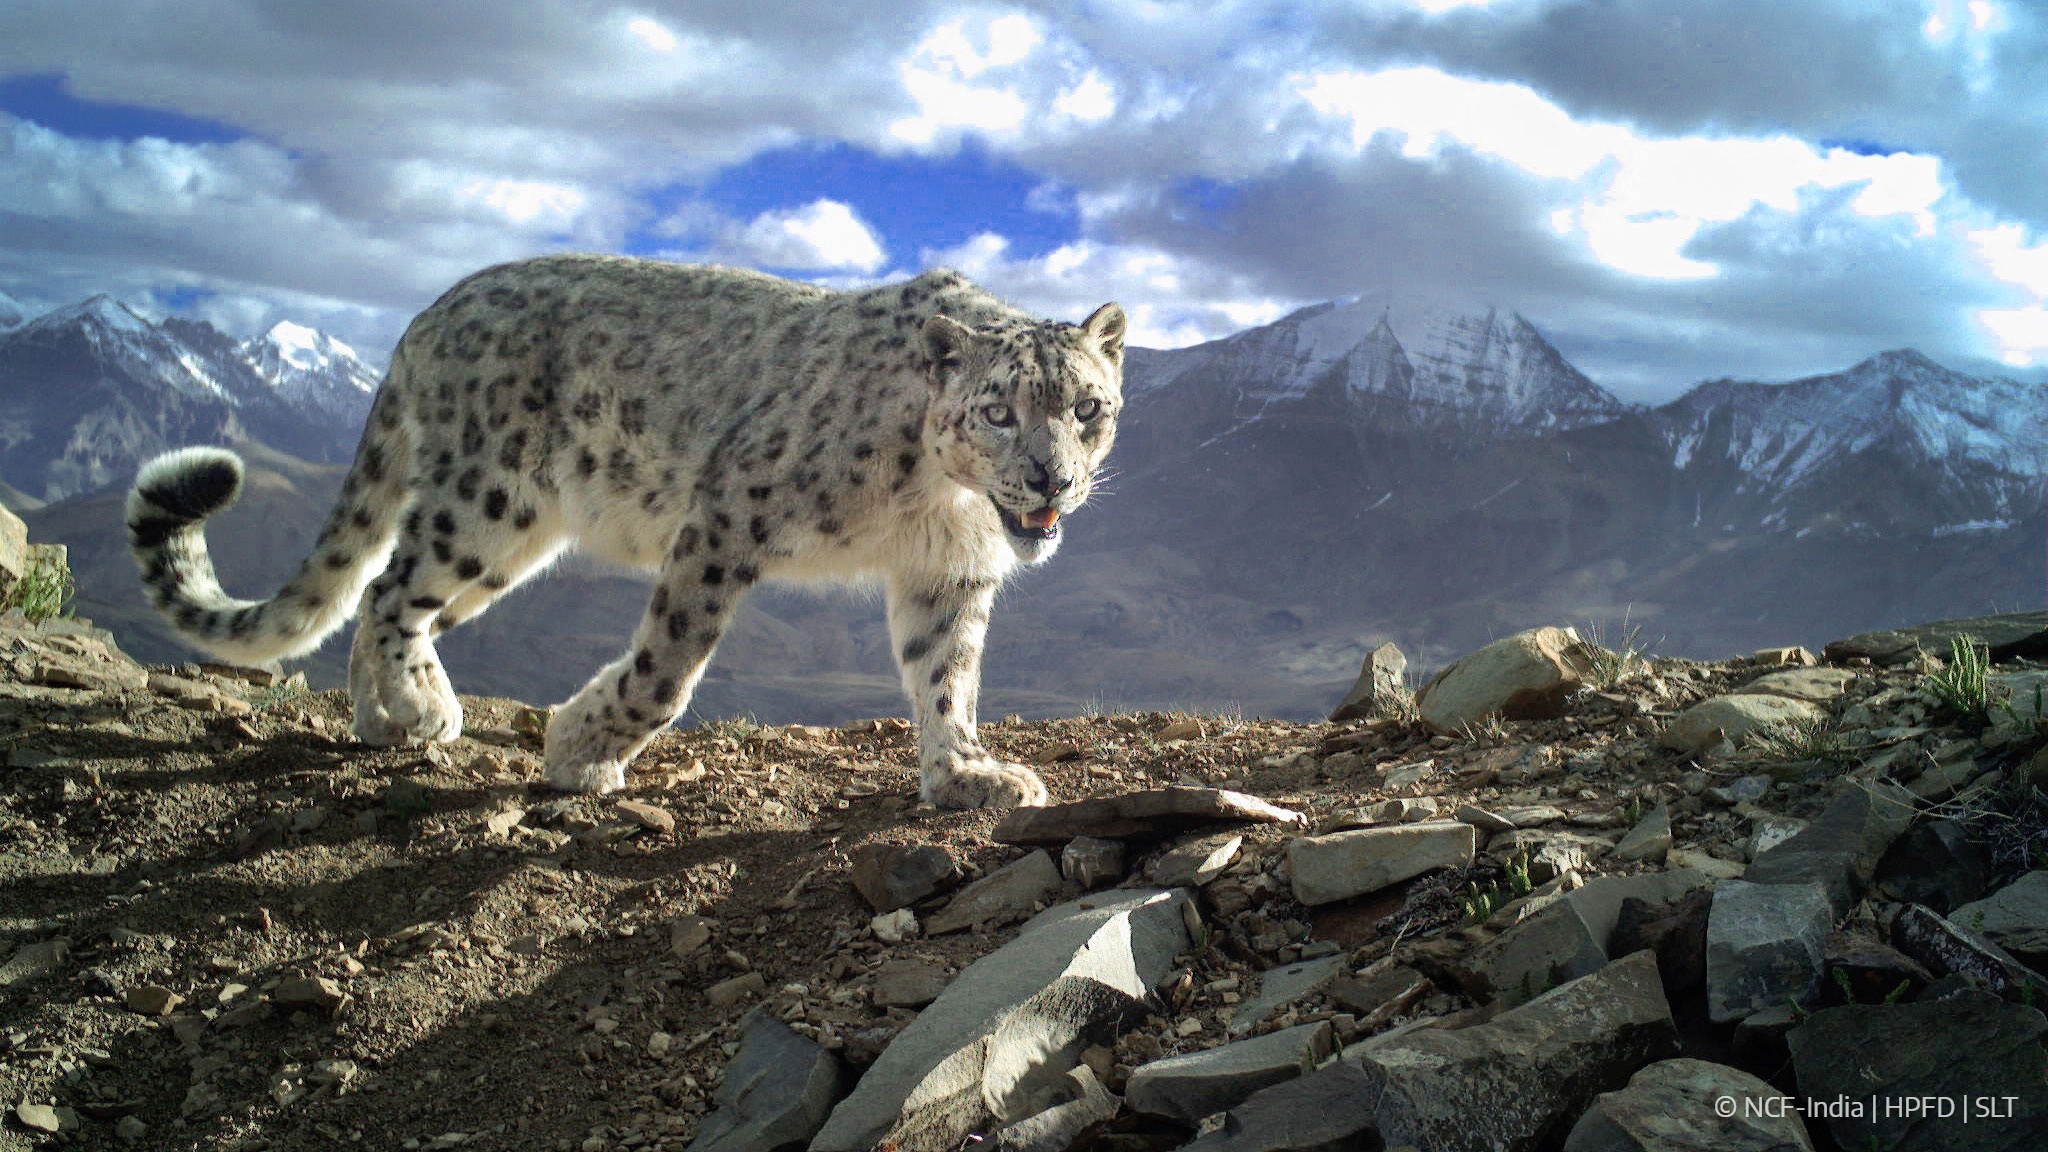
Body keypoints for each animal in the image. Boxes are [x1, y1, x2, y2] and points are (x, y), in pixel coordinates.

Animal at [125, 254, 1125, 809]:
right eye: (997, 410)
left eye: (1087, 407)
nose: (1053, 480)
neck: (938, 504)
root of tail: (425, 316)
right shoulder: (730, 511)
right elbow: (667, 668)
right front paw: (579, 750)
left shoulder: (945, 575)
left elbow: (946, 674)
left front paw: (967, 774)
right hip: (487, 499)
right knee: (391, 587)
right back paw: (418, 708)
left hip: (514, 540)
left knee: (380, 588)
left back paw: (385, 719)